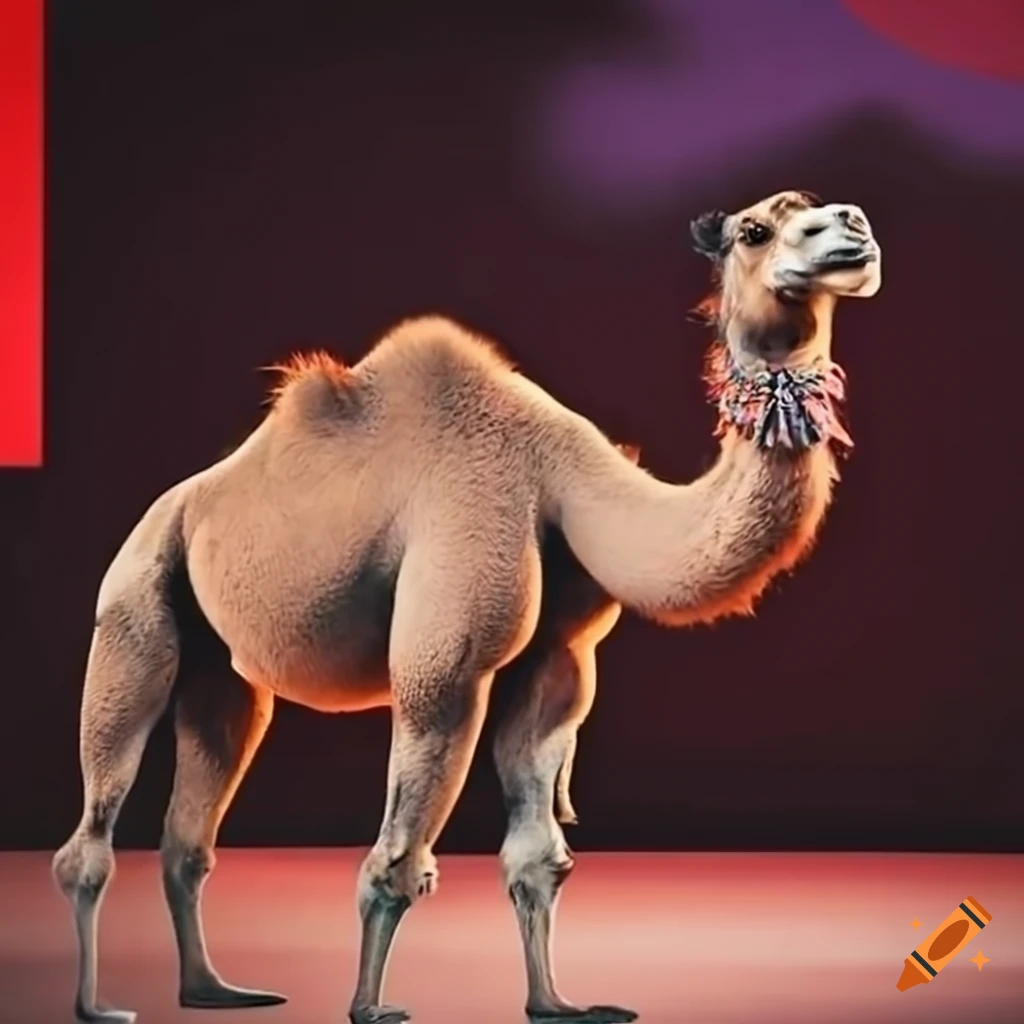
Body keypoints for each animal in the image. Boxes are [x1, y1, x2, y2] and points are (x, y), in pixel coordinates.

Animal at [52, 189, 881, 1024]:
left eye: (817, 208)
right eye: (756, 229)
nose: (854, 227)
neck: (565, 477)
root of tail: (174, 506)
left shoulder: (560, 664)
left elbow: (539, 855)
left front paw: (556, 1004)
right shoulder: (444, 668)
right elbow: (398, 857)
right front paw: (368, 1009)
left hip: (224, 677)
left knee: (189, 831)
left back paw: (213, 989)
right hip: (134, 598)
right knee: (92, 827)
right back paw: (98, 1004)